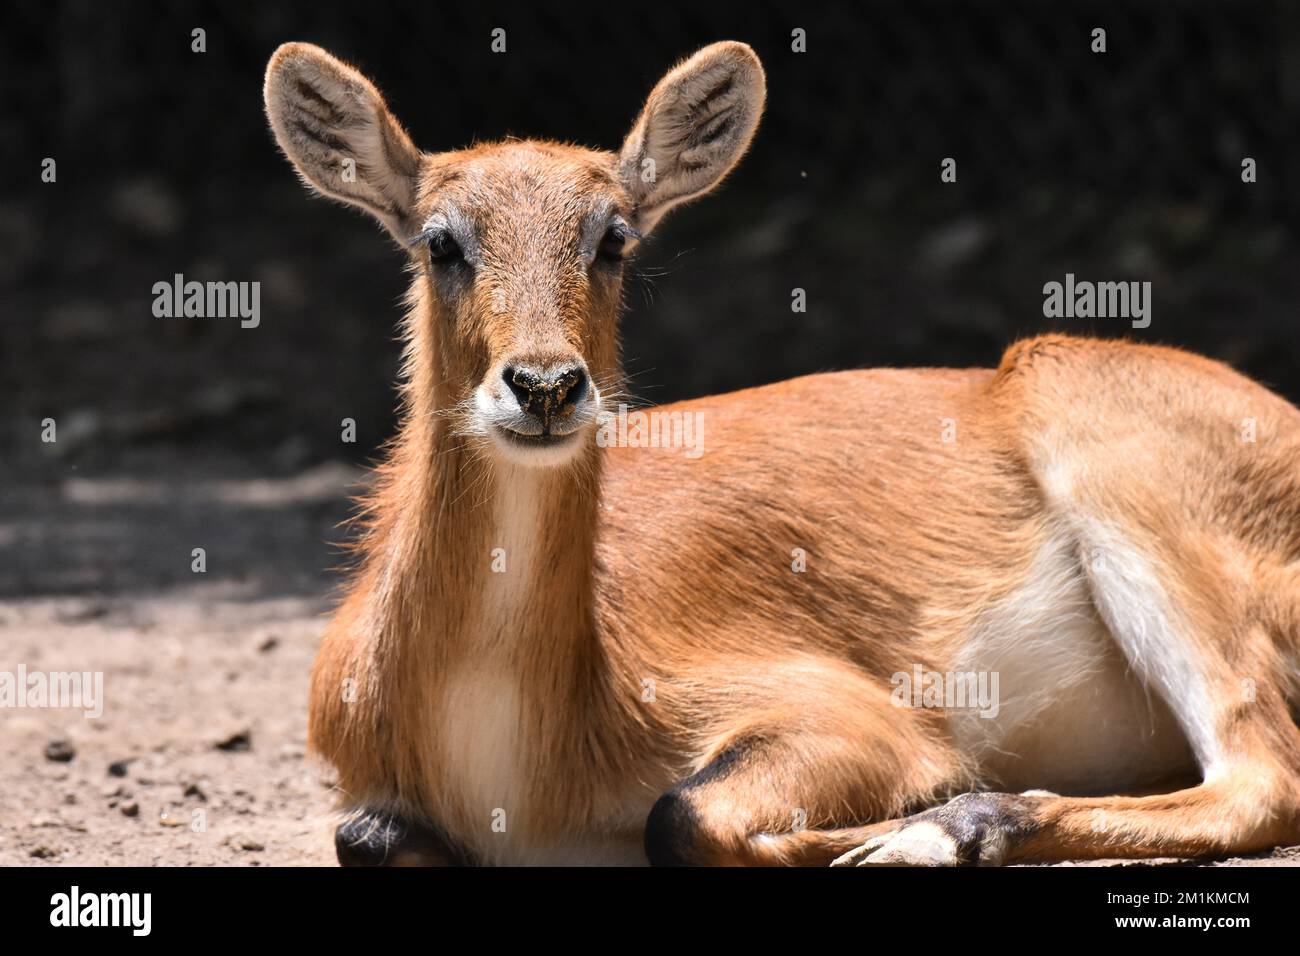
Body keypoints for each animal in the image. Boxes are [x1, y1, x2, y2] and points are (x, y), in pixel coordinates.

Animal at [264, 40, 1300, 866]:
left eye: (613, 237)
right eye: (441, 241)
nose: (546, 386)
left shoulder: (839, 712)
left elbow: (682, 818)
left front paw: (922, 809)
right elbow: (363, 835)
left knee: (1262, 782)